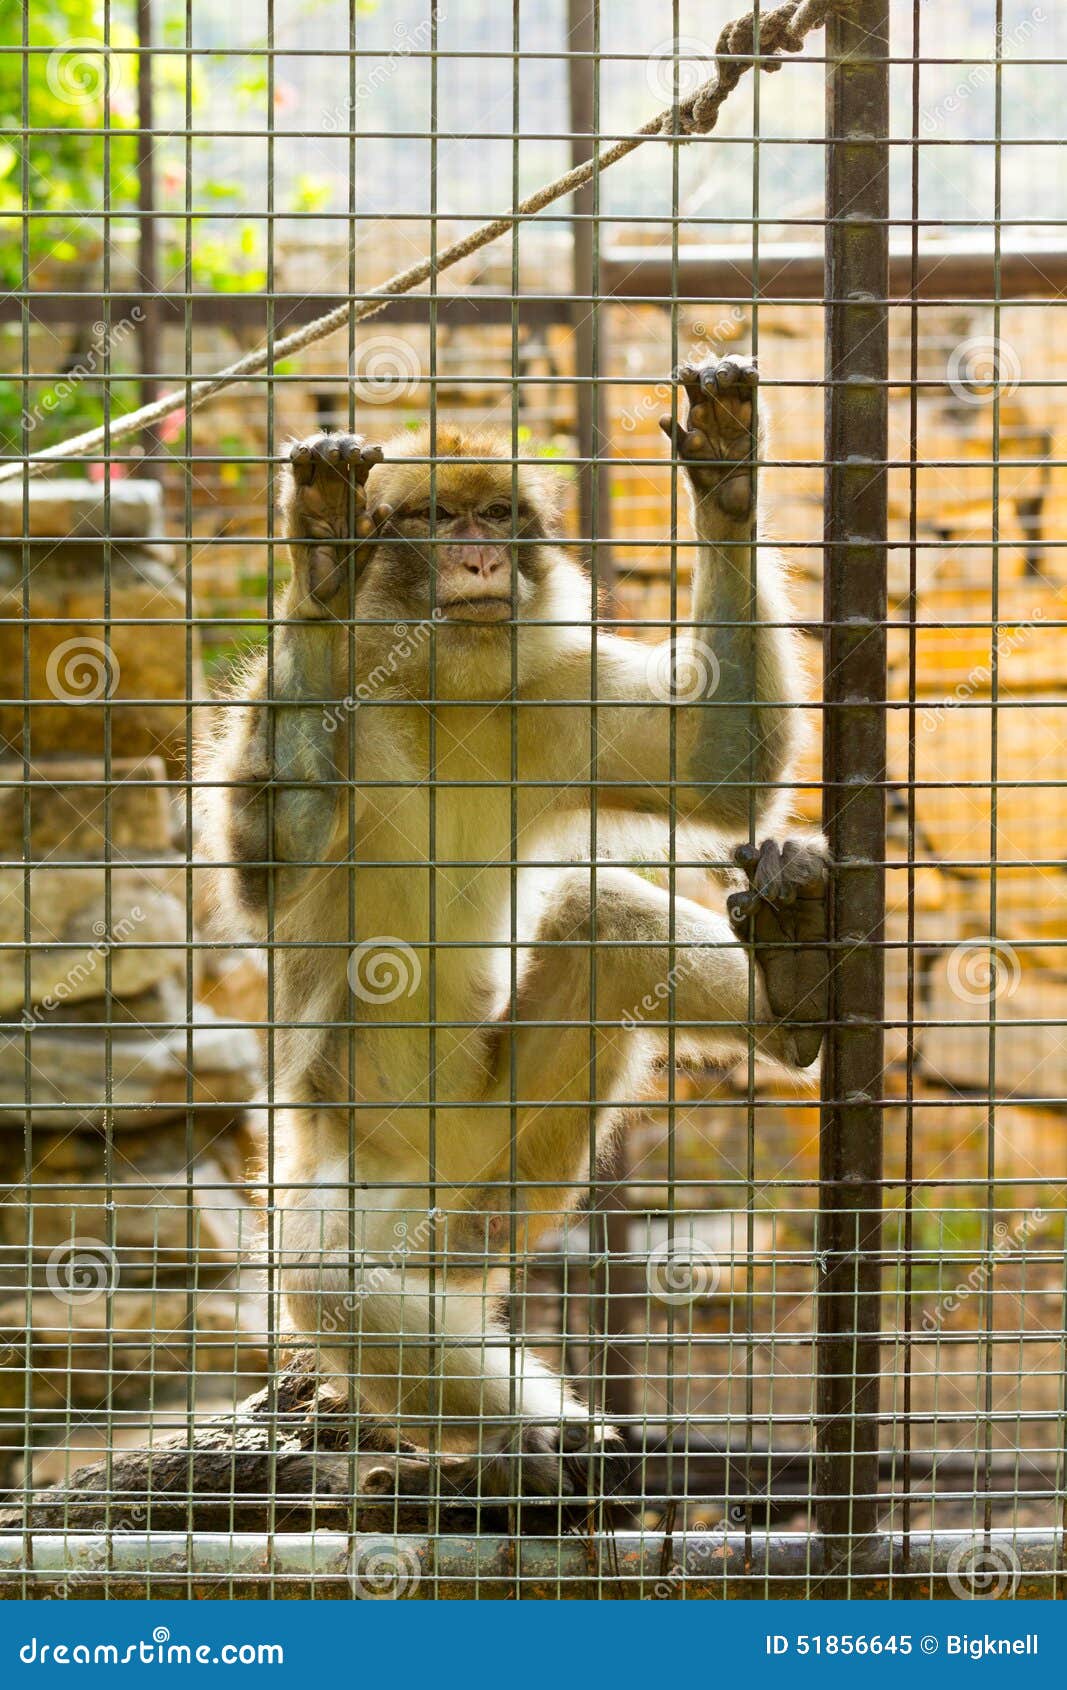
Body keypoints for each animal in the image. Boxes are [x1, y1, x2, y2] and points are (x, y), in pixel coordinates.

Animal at [198, 353, 828, 1496]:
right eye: (439, 520)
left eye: (496, 513)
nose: (482, 556)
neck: (442, 692)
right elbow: (274, 851)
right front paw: (321, 561)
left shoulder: (554, 693)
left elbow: (716, 756)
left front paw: (726, 479)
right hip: (375, 1175)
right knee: (334, 1275)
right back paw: (520, 1442)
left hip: (511, 1173)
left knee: (599, 918)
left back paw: (794, 991)